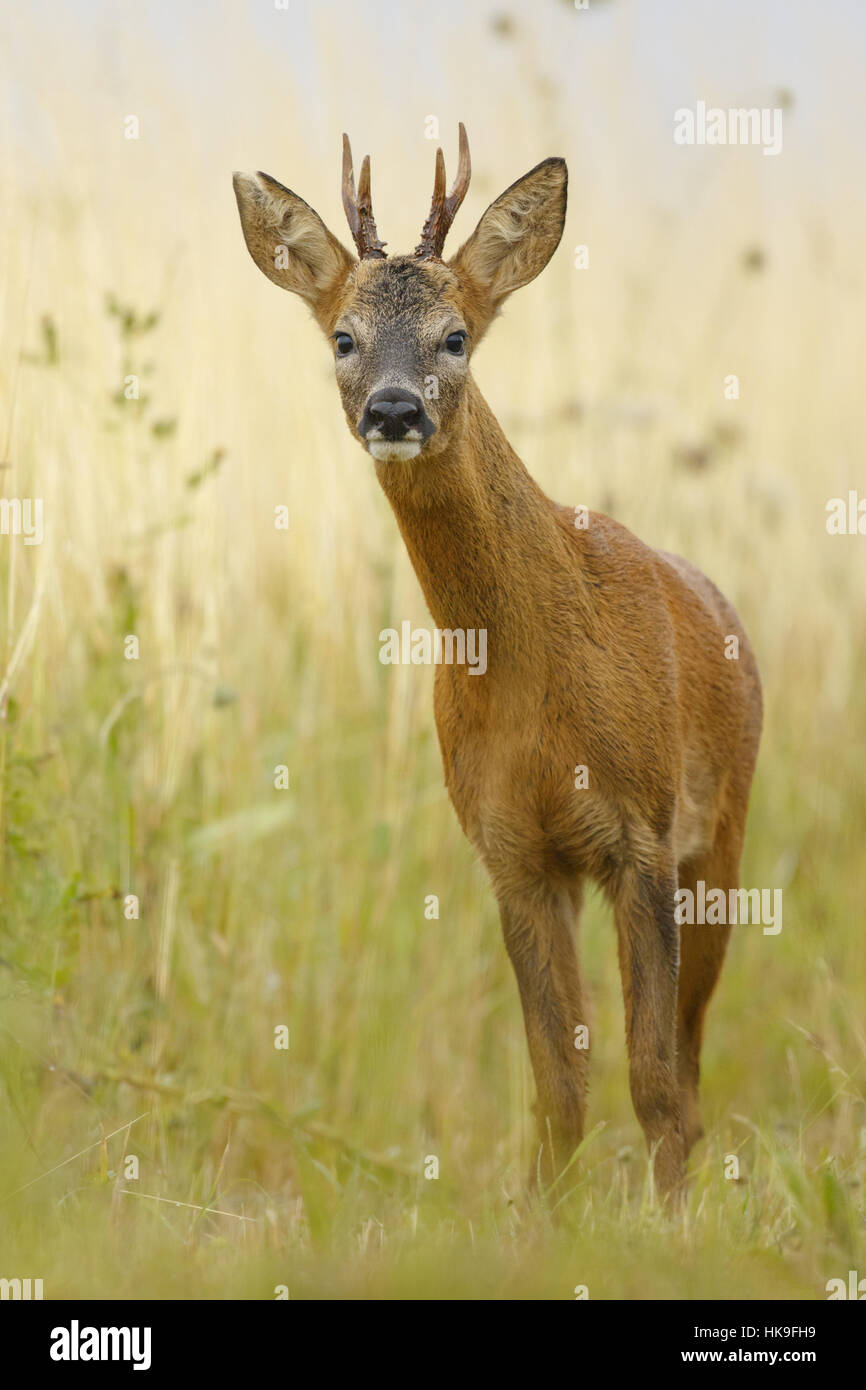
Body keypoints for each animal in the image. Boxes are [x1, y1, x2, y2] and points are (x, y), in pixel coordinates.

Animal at [232, 126, 763, 1200]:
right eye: (342, 338)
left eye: (456, 336)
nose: (395, 410)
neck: (531, 683)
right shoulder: (508, 847)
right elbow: (557, 1085)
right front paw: (543, 1220)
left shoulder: (641, 832)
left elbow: (653, 1082)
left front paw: (671, 1227)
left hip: (720, 839)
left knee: (690, 1071)